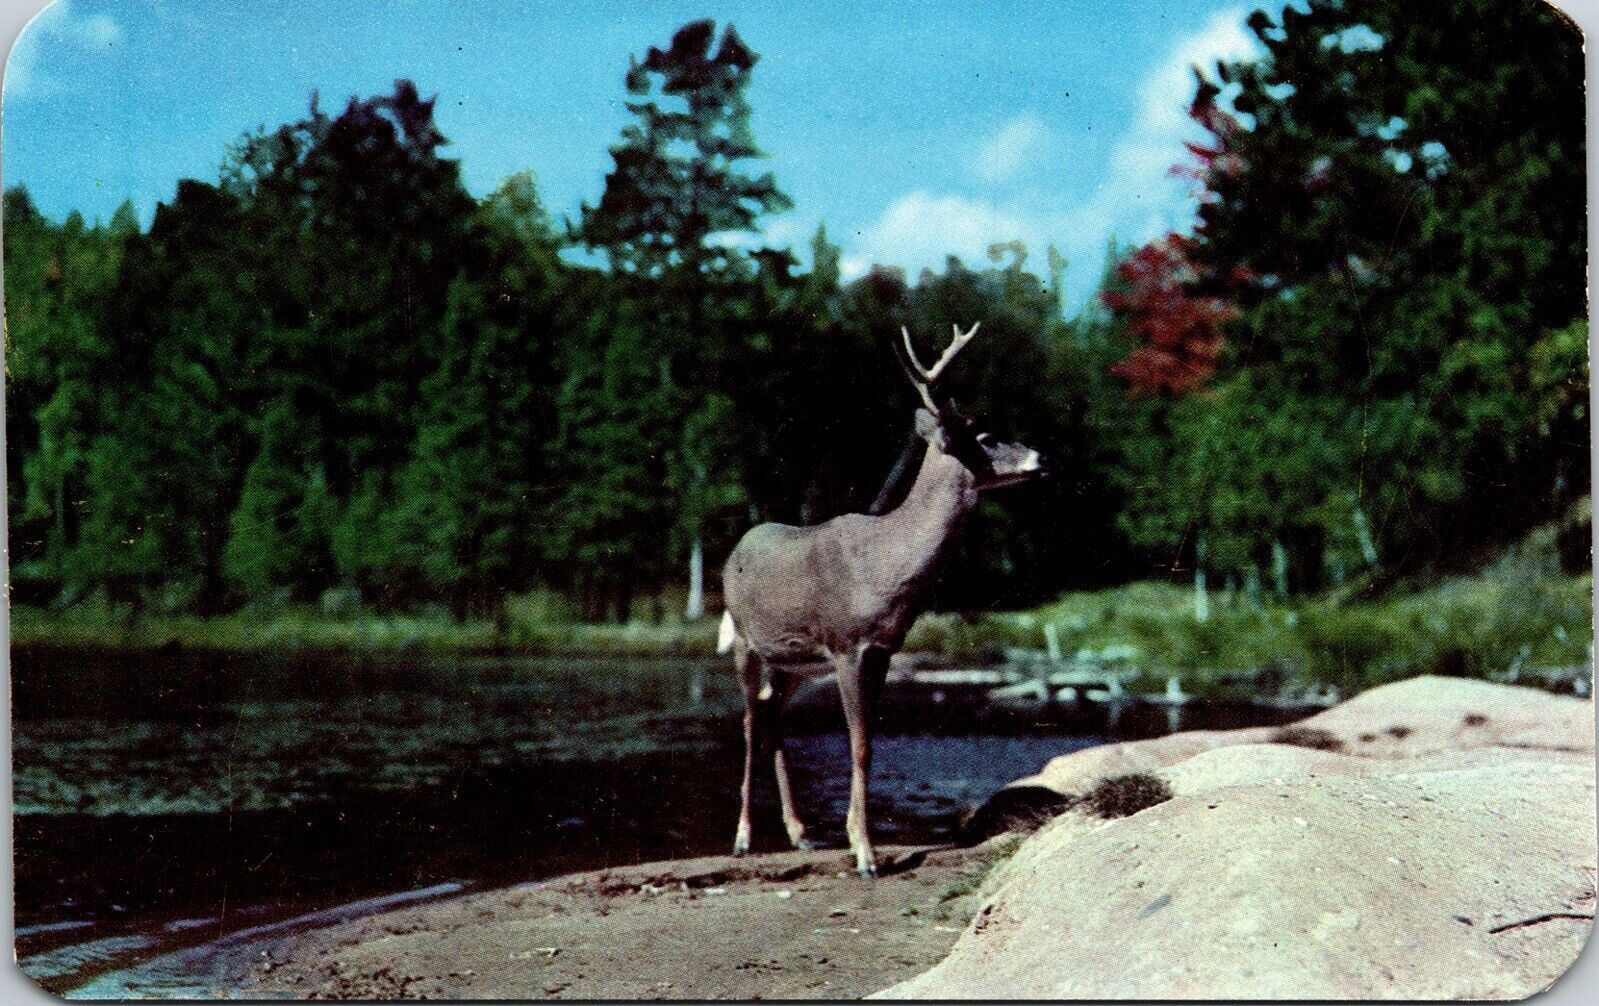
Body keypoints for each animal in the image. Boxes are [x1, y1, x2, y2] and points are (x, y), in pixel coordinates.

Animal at [717, 322, 1048, 877]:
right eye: (984, 435)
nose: (1042, 458)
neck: (886, 565)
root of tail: (732, 553)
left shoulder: (883, 650)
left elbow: (869, 739)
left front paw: (856, 840)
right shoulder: (847, 645)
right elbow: (860, 745)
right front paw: (866, 855)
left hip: (795, 661)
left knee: (771, 711)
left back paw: (800, 833)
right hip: (746, 640)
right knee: (747, 719)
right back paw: (743, 836)